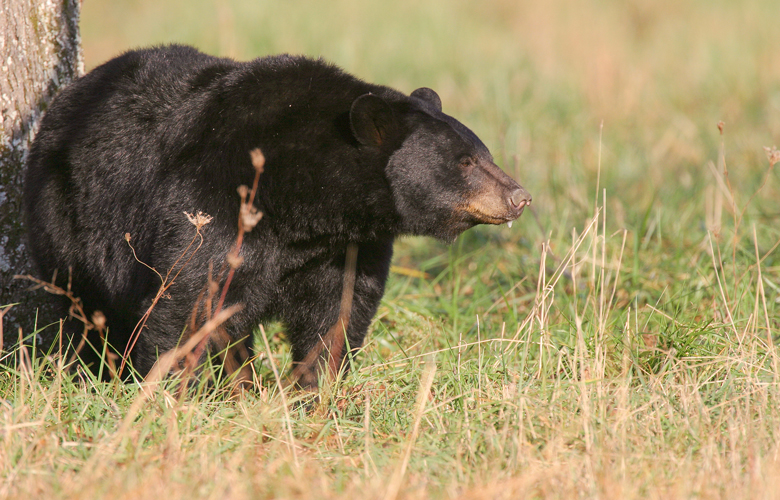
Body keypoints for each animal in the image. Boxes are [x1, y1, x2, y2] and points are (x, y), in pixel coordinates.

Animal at [24, 44, 531, 389]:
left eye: (483, 152)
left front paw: (316, 390)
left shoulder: (349, 245)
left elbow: (339, 312)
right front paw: (168, 391)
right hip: (68, 226)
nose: (519, 197)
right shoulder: (210, 203)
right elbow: (185, 301)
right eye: (465, 161)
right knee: (87, 310)